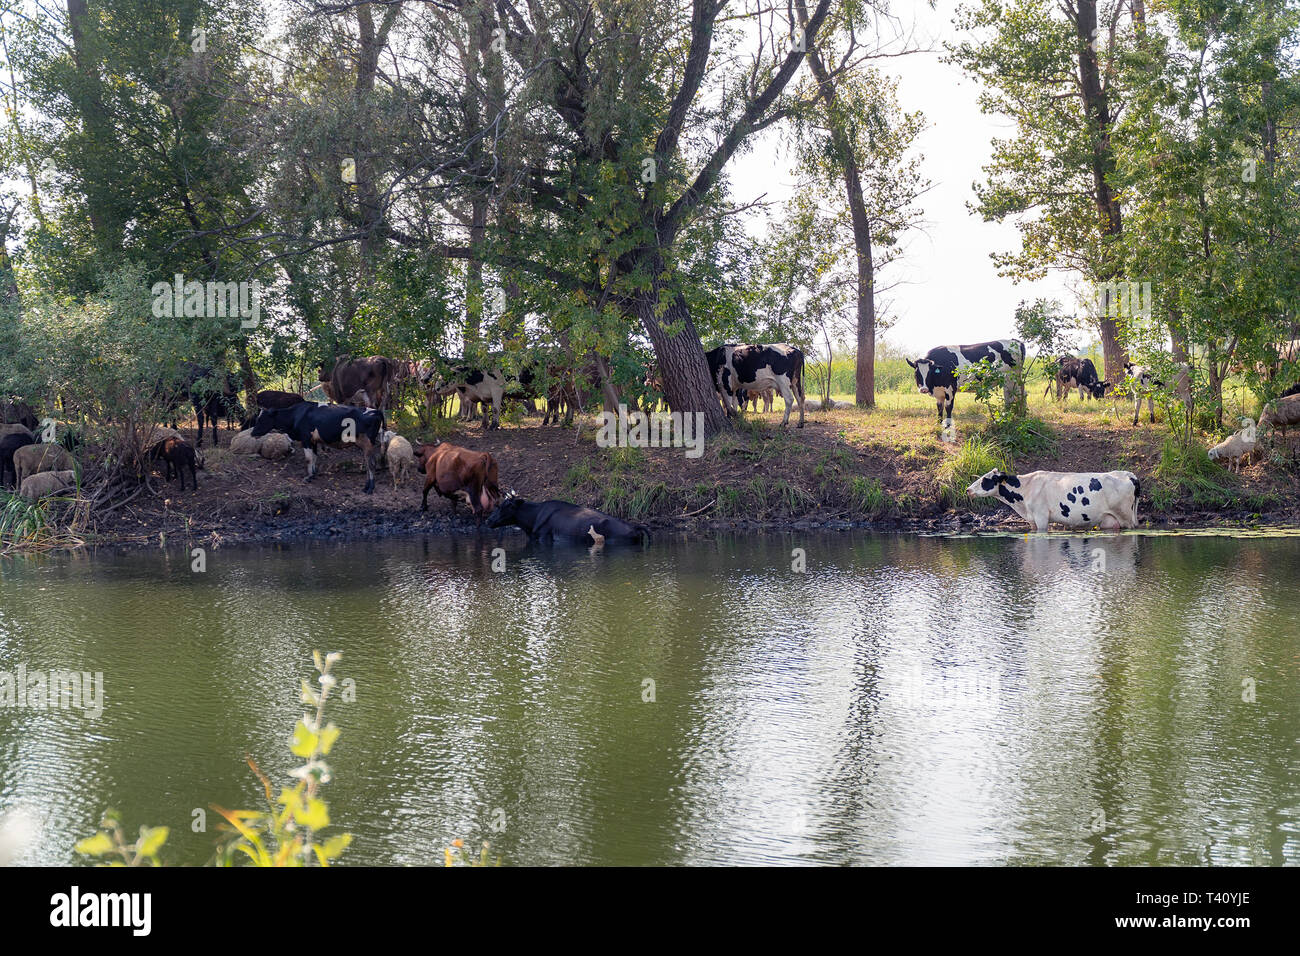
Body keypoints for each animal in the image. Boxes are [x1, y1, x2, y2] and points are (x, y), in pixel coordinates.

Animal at [250, 402, 385, 493]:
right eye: (257, 419)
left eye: (262, 419)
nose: (252, 433)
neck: (297, 415)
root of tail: (376, 411)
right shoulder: (313, 441)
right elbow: (314, 457)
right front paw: (313, 474)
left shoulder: (305, 439)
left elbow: (308, 458)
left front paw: (308, 477)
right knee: (368, 463)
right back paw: (367, 486)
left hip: (367, 443)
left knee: (371, 464)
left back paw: (370, 488)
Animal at [967, 469, 1141, 532]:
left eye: (985, 479)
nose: (968, 489)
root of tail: (1129, 474)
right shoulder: (1032, 519)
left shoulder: (1041, 517)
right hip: (1110, 520)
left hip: (1126, 517)